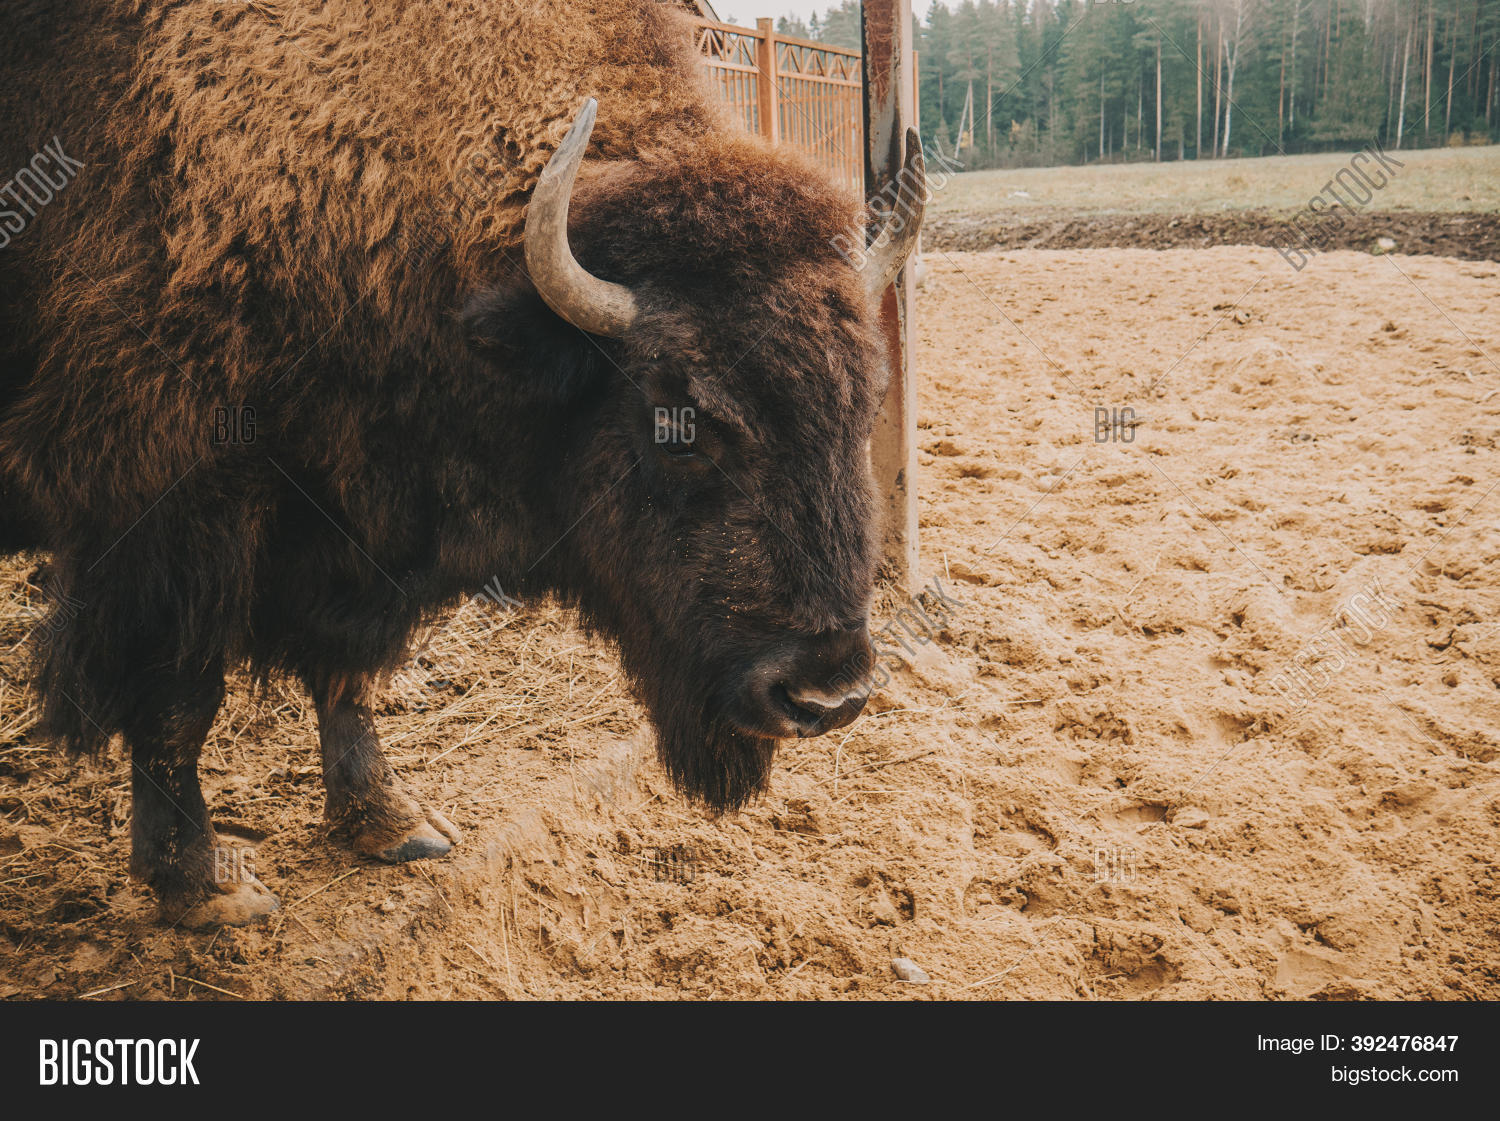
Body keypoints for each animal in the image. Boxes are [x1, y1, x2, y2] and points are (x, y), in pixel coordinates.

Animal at [0, 0, 924, 926]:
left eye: (865, 404)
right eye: (683, 424)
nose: (828, 696)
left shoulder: (361, 522)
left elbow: (348, 674)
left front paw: (394, 823)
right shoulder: (170, 508)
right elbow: (179, 700)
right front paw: (207, 886)